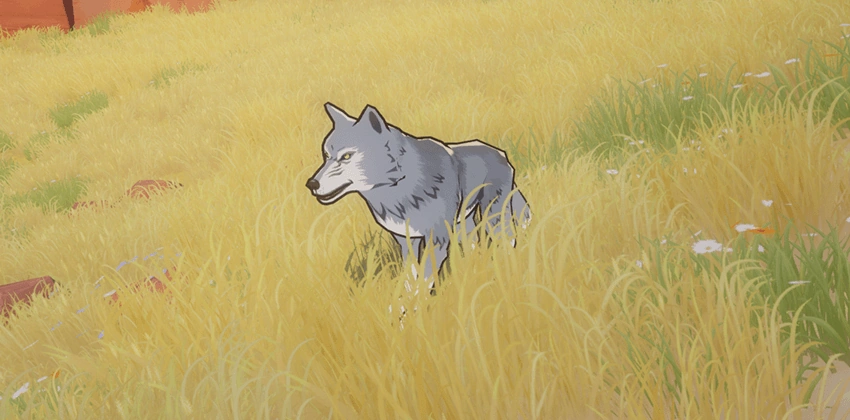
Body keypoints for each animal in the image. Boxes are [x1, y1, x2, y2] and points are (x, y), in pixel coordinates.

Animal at [305, 102, 532, 289]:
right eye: (326, 155)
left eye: (346, 156)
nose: (311, 184)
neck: (402, 188)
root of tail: (501, 153)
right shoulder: (407, 242)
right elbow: (409, 280)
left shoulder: (436, 239)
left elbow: (423, 282)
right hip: (462, 223)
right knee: (473, 244)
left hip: (493, 218)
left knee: (507, 240)